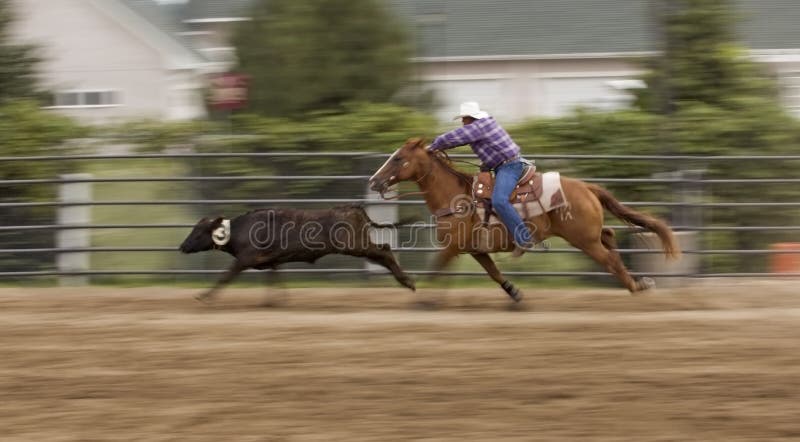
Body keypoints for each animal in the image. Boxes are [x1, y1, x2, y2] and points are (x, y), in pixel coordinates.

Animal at [178, 205, 415, 302]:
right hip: (359, 246)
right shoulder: (271, 261)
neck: (239, 230)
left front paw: (203, 296)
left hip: (355, 246)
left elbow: (225, 277)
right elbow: (275, 279)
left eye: (198, 232)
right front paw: (277, 300)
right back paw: (406, 282)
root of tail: (353, 207)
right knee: (382, 254)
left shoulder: (245, 260)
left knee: (385, 251)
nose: (182, 247)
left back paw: (408, 282)